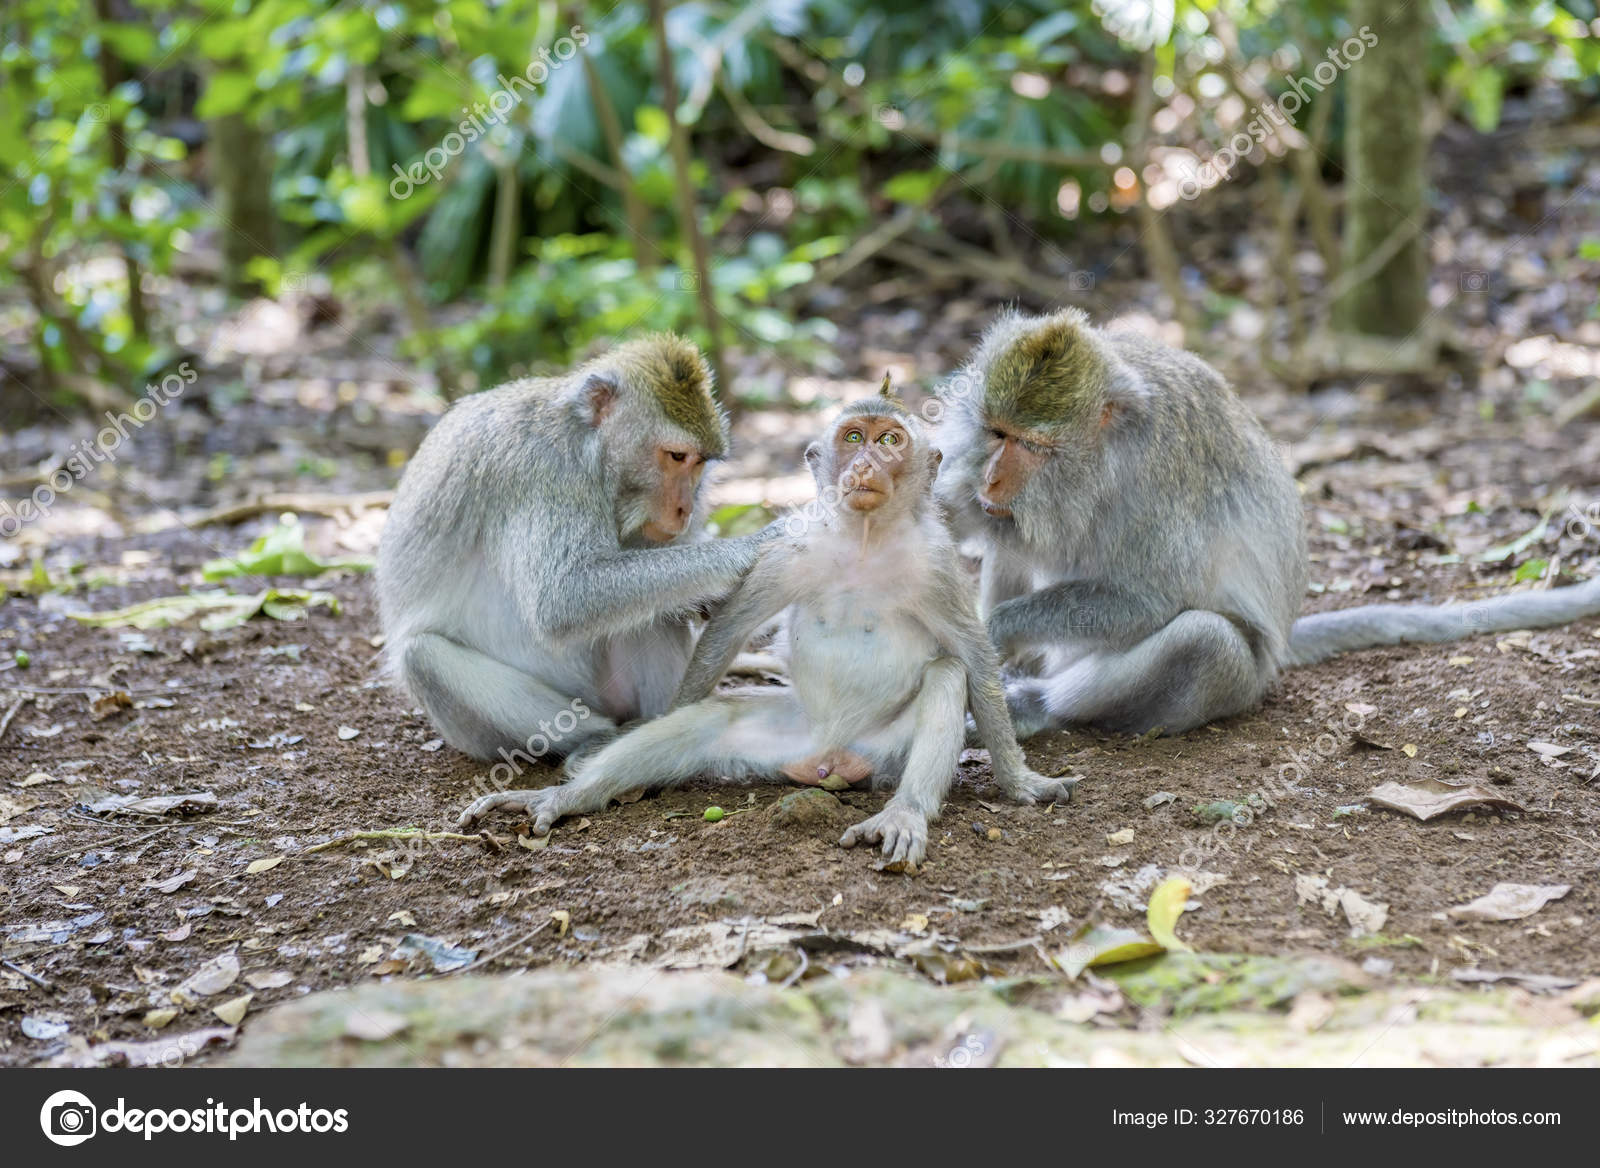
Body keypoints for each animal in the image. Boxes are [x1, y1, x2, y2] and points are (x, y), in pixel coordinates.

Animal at [377, 334, 775, 770]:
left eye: (700, 463)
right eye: (676, 456)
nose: (685, 510)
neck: (587, 445)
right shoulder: (544, 473)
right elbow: (562, 599)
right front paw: (756, 545)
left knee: (655, 608)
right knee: (422, 657)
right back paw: (598, 739)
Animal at [458, 382, 1073, 865]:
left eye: (891, 441)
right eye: (854, 438)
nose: (865, 466)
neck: (865, 541)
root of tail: (828, 756)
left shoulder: (939, 566)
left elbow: (974, 658)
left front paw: (1021, 782)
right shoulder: (789, 551)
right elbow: (729, 629)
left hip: (884, 754)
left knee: (945, 675)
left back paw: (904, 812)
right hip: (779, 742)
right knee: (708, 721)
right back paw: (568, 798)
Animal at [933, 307, 1600, 738]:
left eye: (1031, 446)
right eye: (995, 432)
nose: (992, 480)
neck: (1105, 455)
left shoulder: (1160, 476)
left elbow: (1151, 600)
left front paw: (996, 630)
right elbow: (976, 524)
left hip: (1243, 682)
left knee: (1208, 643)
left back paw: (1041, 706)